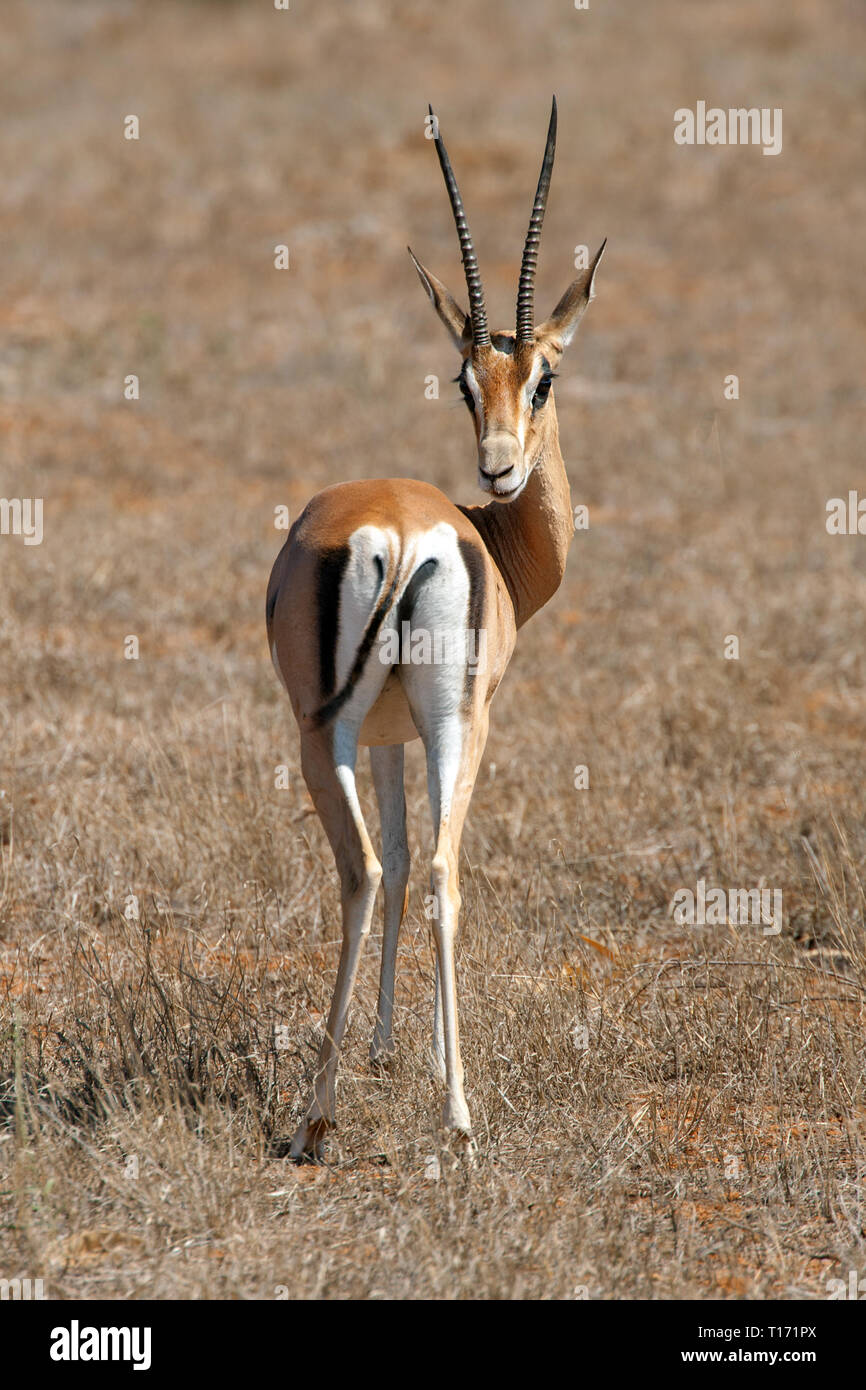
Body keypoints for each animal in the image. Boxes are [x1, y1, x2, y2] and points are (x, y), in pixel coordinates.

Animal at [267, 97, 605, 1160]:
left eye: (542, 378)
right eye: (464, 382)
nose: (499, 467)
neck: (491, 540)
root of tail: (404, 531)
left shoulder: (385, 737)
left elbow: (408, 857)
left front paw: (384, 1051)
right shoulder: (428, 729)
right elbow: (421, 860)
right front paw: (410, 1058)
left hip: (344, 730)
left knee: (383, 868)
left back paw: (347, 1107)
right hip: (436, 727)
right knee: (413, 870)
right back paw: (409, 1114)